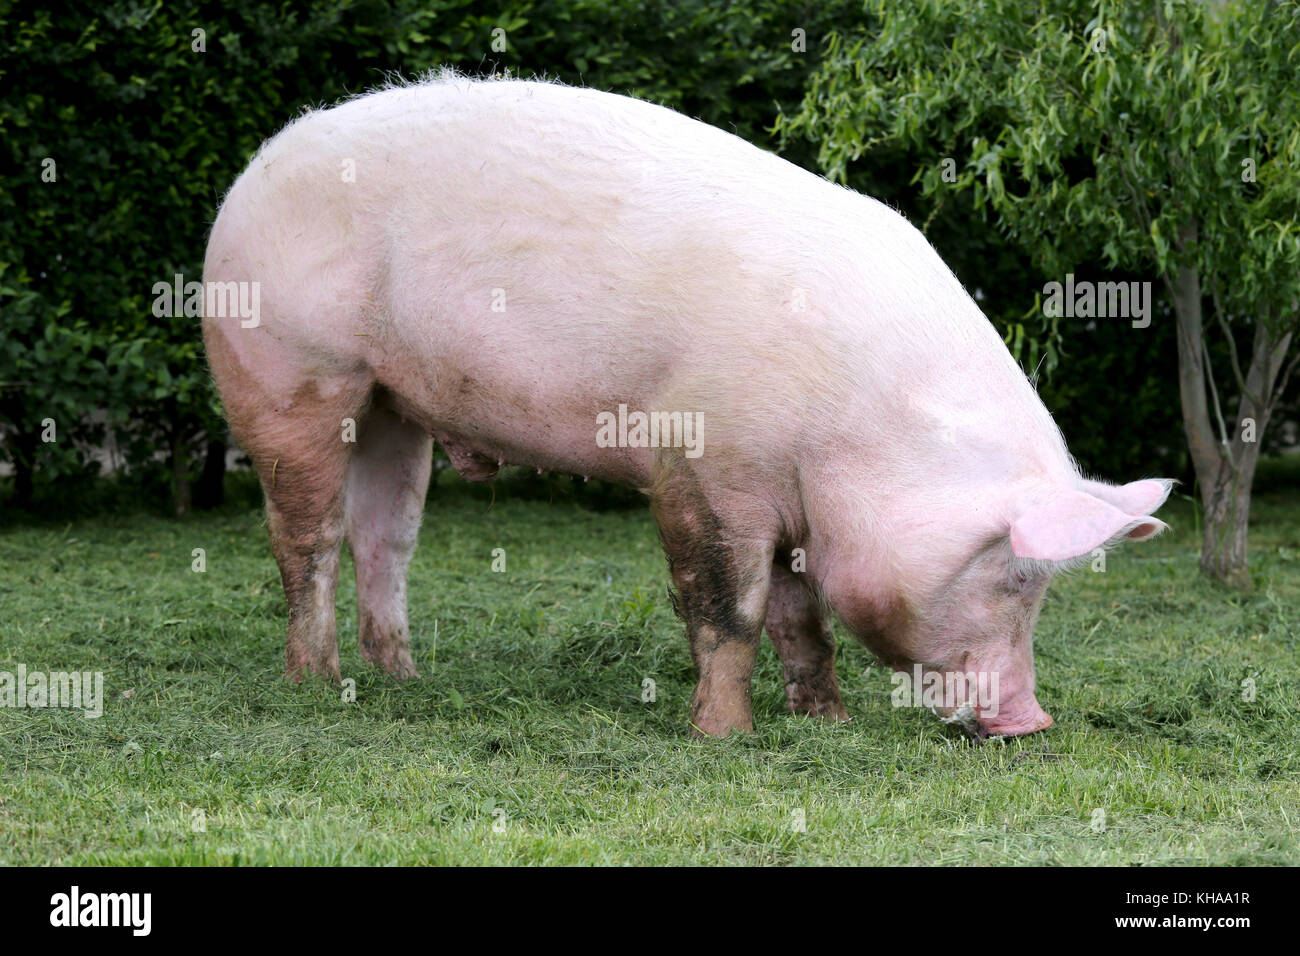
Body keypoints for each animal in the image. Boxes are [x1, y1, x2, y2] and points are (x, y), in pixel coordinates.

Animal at [202, 72, 1172, 738]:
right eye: (1015, 575)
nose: (1032, 722)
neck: (858, 434)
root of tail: (250, 174)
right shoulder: (702, 466)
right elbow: (728, 608)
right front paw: (724, 738)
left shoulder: (790, 499)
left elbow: (802, 618)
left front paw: (828, 722)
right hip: (288, 369)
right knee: (307, 536)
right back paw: (314, 683)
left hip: (393, 401)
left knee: (388, 537)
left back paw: (402, 680)